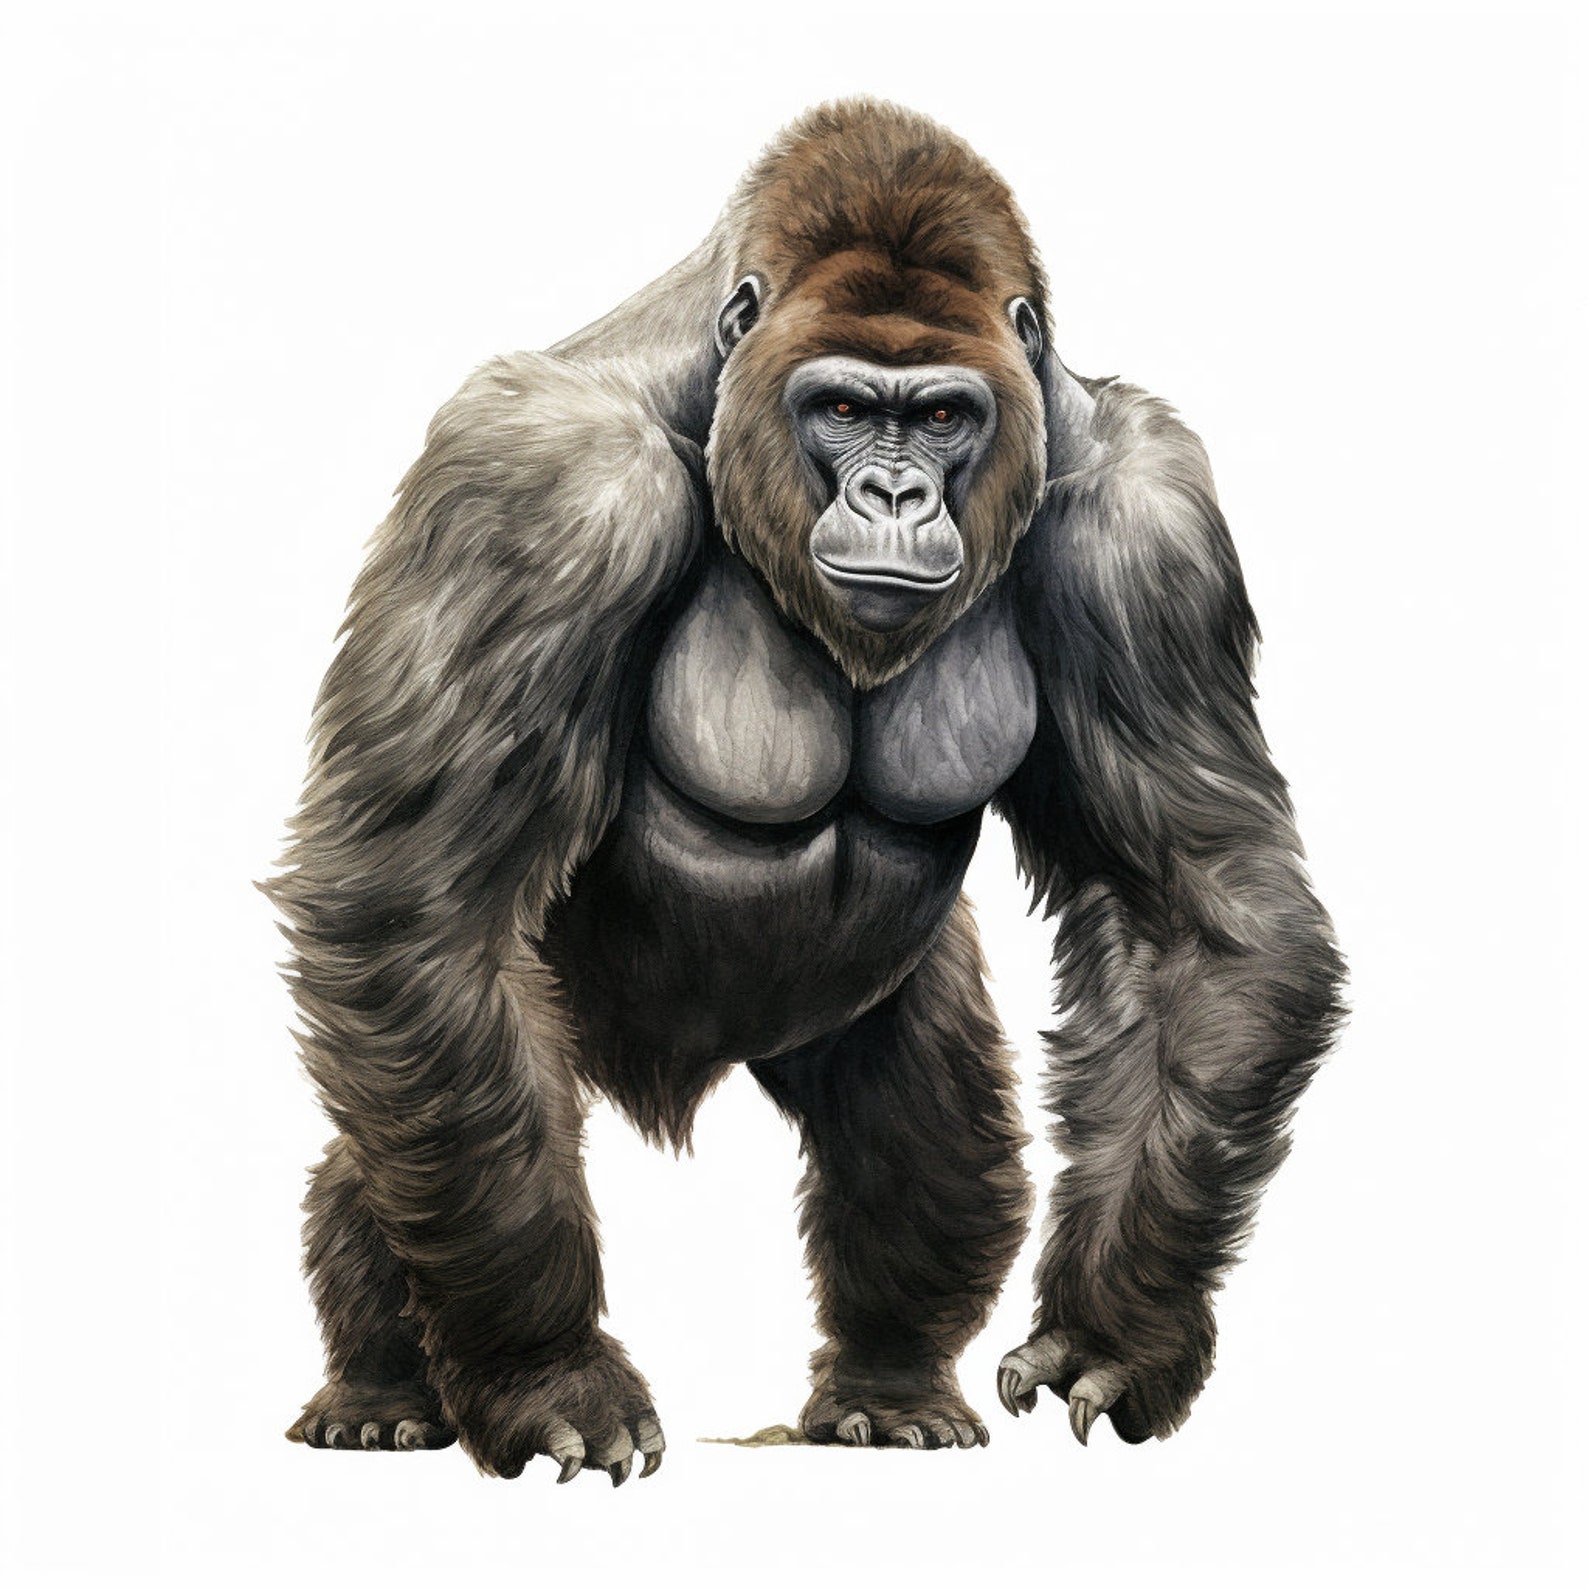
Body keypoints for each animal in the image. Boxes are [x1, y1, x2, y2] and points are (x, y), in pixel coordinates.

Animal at [271, 97, 1345, 1484]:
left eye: (940, 418)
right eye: (839, 405)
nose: (892, 492)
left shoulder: (1147, 523)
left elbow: (1204, 918)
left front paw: (1124, 1327)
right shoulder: (541, 484)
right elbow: (418, 908)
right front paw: (545, 1371)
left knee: (927, 1122)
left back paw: (888, 1386)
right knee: (416, 1101)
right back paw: (384, 1383)